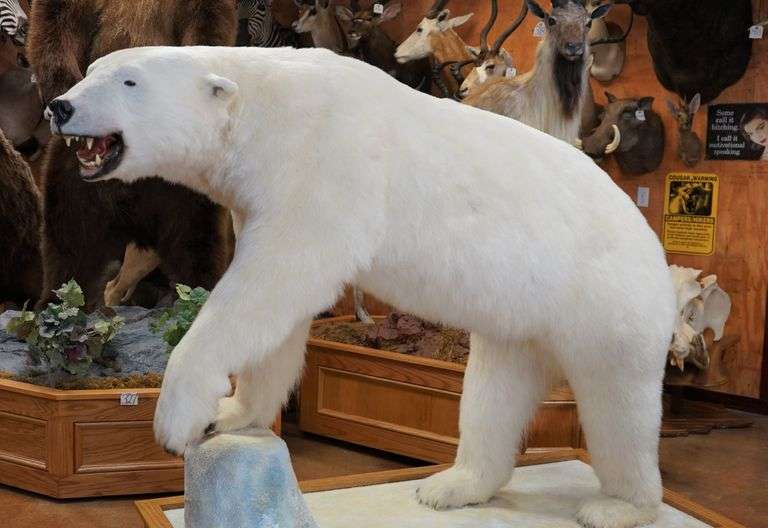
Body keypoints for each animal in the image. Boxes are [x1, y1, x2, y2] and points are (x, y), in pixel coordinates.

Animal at [26, 0, 237, 310]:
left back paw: (195, 294)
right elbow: (57, 22)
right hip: (74, 177)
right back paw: (59, 301)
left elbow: (207, 23)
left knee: (195, 232)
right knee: (71, 232)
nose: (61, 109)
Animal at [51, 46, 676, 528]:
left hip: (604, 299)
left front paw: (177, 419)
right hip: (521, 317)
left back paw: (619, 506)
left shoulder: (325, 165)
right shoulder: (261, 194)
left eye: (129, 80)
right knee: (493, 392)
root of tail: (653, 245)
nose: (60, 106)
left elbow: (272, 284)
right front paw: (233, 415)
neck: (263, 113)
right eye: (91, 69)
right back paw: (449, 486)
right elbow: (275, 316)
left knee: (619, 403)